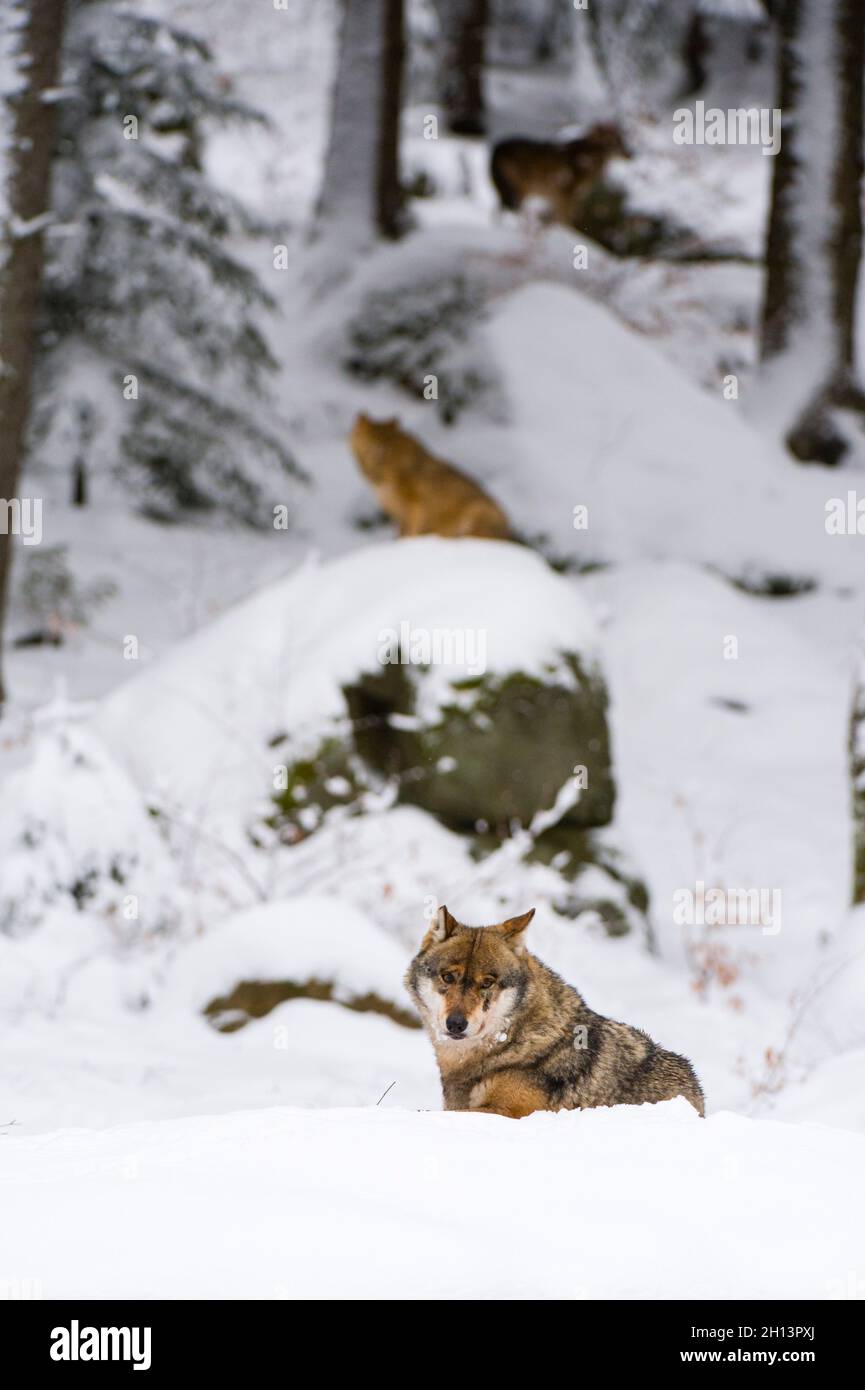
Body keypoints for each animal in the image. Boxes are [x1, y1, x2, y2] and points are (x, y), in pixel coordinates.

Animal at [350, 413, 510, 540]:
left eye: (387, 445)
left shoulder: (417, 504)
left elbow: (411, 533)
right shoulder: (399, 514)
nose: (377, 452)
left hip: (475, 513)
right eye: (369, 441)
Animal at [490, 123, 630, 229]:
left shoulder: (568, 198)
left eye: (622, 139)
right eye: (613, 141)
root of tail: (496, 151)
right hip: (519, 189)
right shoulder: (565, 193)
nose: (629, 154)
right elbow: (565, 220)